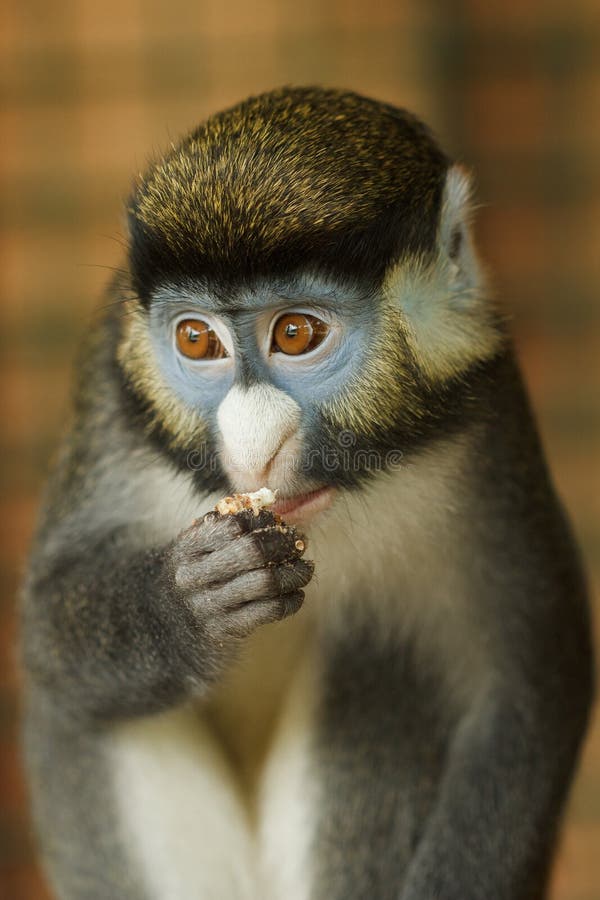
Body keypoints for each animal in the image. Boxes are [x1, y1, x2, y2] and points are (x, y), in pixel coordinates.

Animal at [21, 86, 594, 900]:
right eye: (195, 340)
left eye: (296, 333)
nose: (255, 448)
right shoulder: (107, 386)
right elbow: (48, 628)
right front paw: (188, 601)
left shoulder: (492, 424)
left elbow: (527, 688)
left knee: (383, 650)